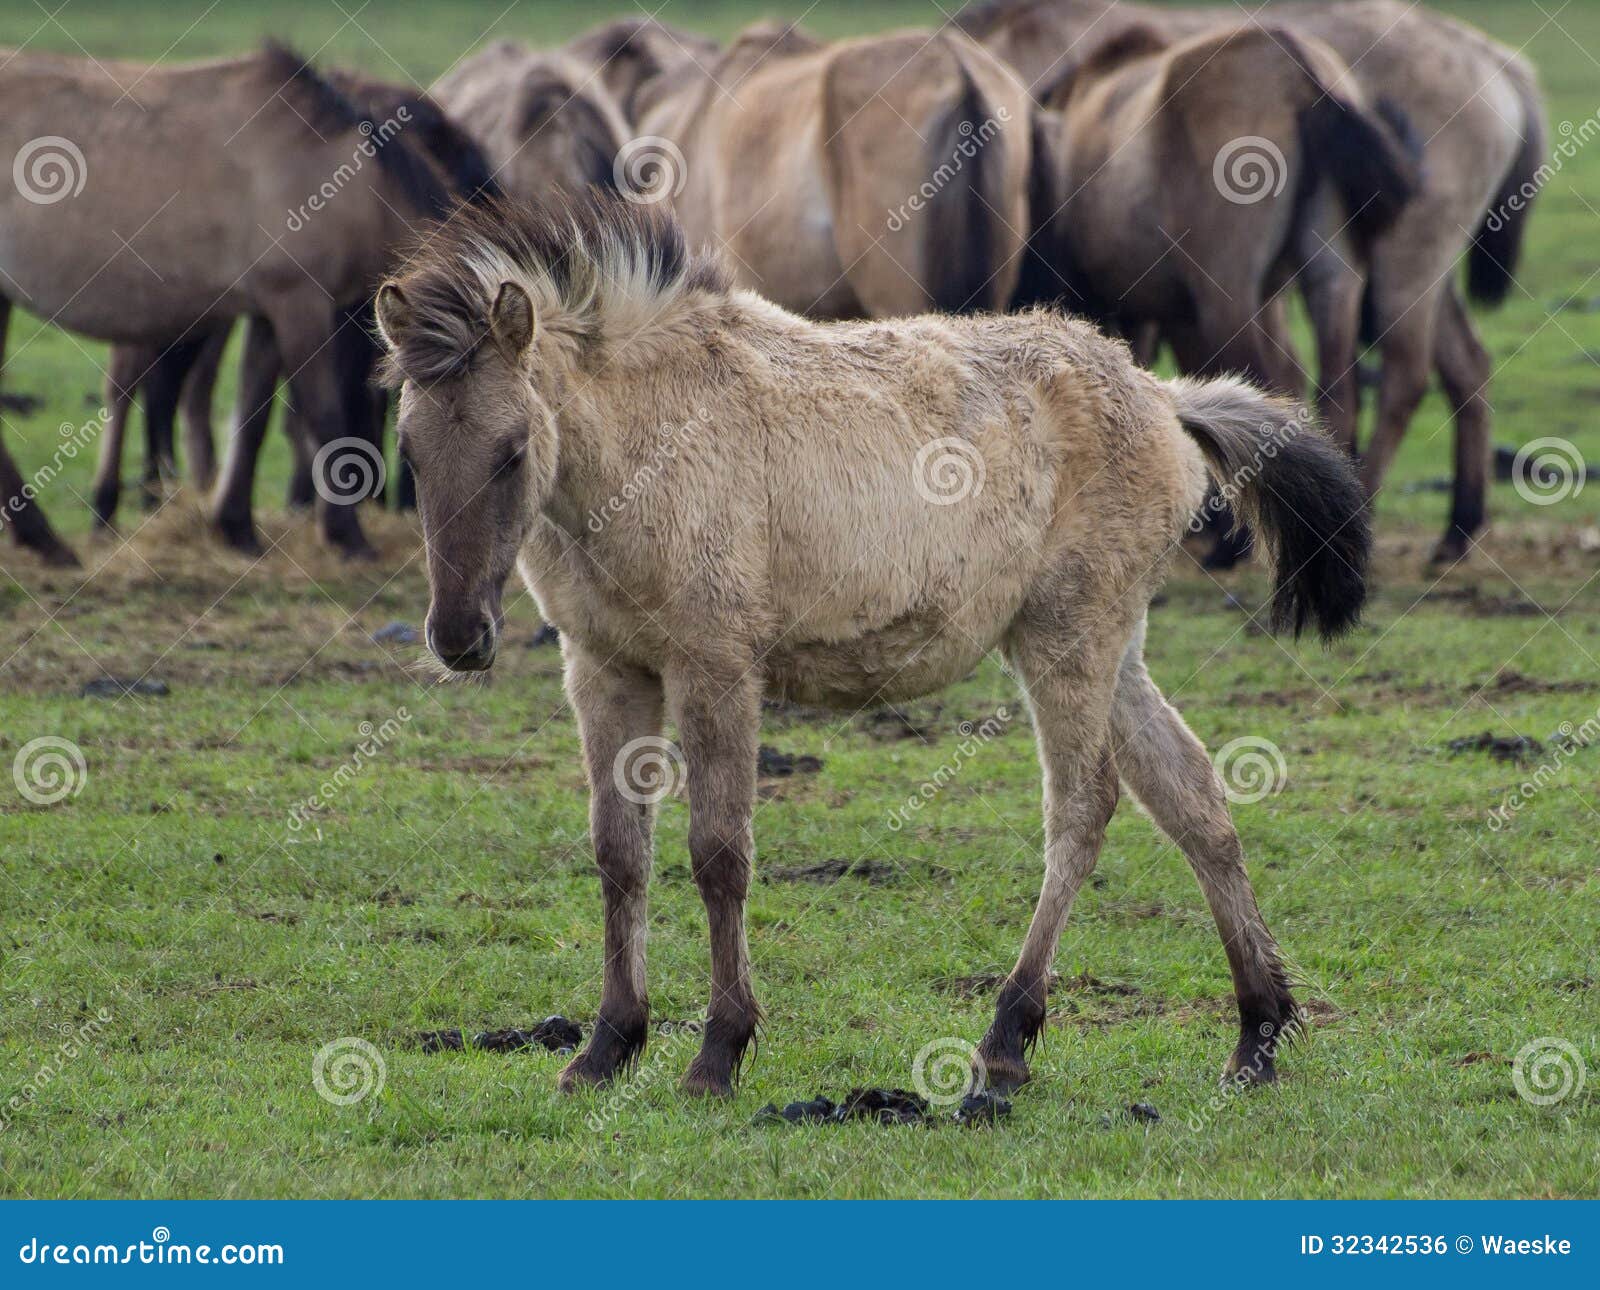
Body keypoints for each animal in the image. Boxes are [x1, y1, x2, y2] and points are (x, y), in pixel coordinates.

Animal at [0, 43, 451, 561]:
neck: (354, 187)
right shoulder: (300, 304)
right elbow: (324, 414)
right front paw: (346, 535)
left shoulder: (268, 313)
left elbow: (251, 419)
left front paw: (235, 527)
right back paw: (43, 537)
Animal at [373, 194, 1370, 1097]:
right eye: (410, 456)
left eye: (511, 451)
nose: (459, 638)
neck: (646, 442)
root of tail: (1163, 395)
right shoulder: (605, 668)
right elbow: (620, 852)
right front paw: (607, 1046)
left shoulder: (715, 665)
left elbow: (718, 852)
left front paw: (717, 1053)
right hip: (1106, 647)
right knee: (1193, 797)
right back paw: (1258, 1034)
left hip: (1068, 638)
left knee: (1085, 809)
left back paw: (1007, 1042)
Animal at [959, 0, 1548, 565]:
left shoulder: (1151, 302)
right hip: (1344, 271)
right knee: (1398, 379)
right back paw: (1438, 527)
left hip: (1342, 274)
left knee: (1378, 379)